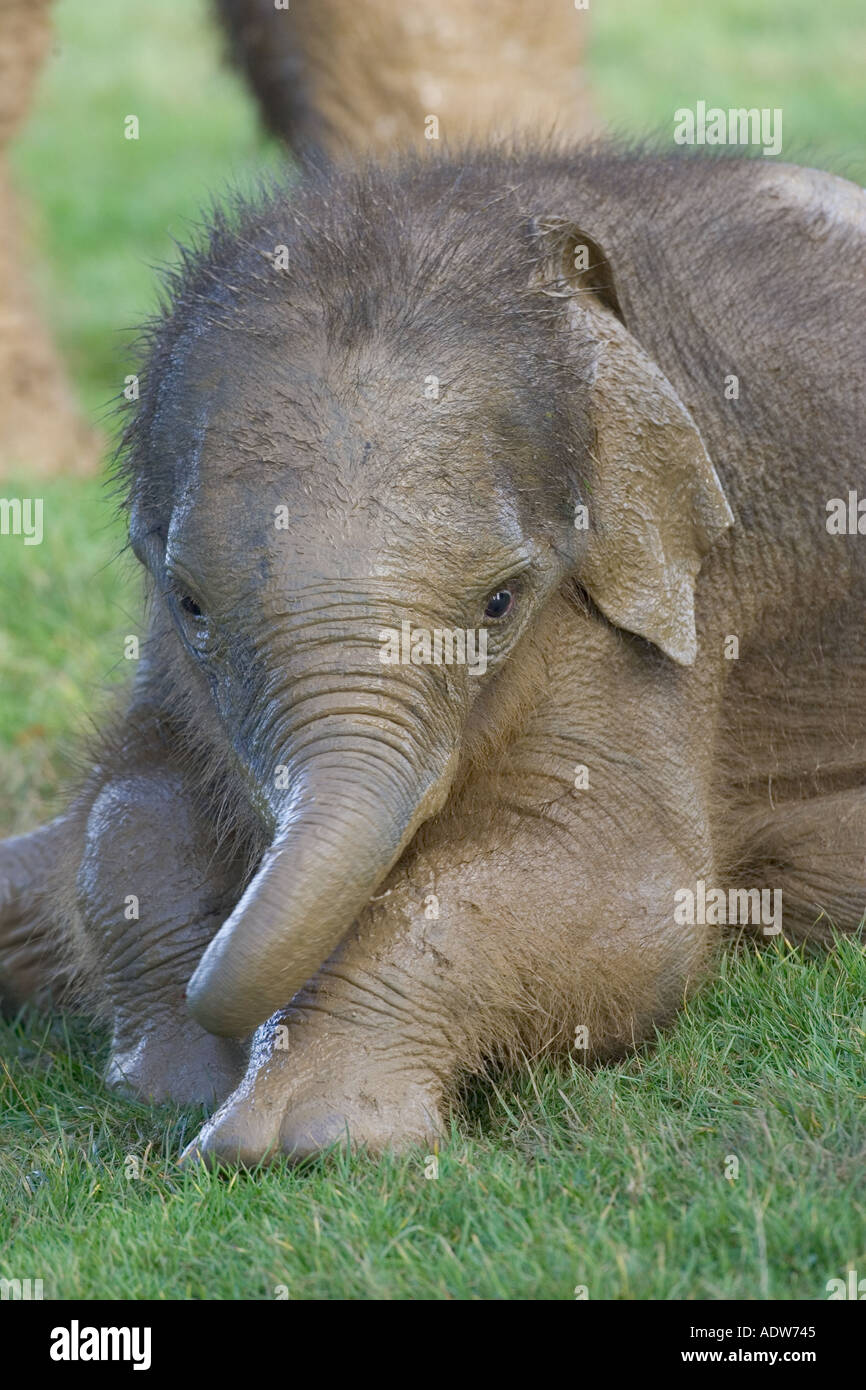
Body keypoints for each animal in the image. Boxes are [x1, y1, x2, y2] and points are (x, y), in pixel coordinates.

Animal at [1, 146, 864, 1165]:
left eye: (500, 602)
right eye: (190, 606)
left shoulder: (666, 603)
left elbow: (612, 876)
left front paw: (304, 1135)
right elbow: (132, 806)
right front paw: (182, 1082)